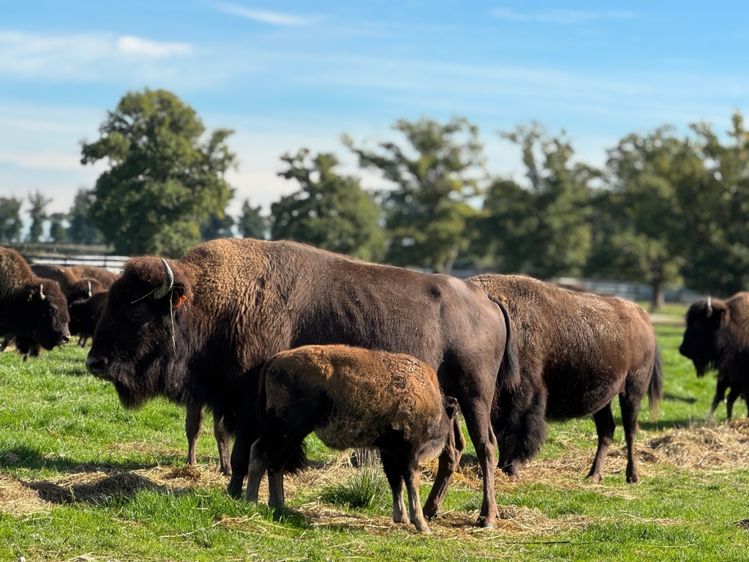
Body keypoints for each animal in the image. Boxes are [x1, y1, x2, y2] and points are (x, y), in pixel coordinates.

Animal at [238, 344, 457, 533]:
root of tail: (274, 360)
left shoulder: (390, 452)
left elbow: (396, 482)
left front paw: (401, 518)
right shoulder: (408, 453)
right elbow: (411, 482)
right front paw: (421, 524)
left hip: (292, 436)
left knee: (276, 465)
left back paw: (279, 506)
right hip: (283, 430)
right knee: (259, 453)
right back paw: (251, 501)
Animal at [469, 274, 662, 483]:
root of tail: (641, 315)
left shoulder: (523, 396)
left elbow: (516, 431)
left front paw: (511, 470)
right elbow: (501, 432)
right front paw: (502, 468)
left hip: (633, 391)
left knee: (630, 431)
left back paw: (632, 476)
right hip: (604, 400)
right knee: (607, 431)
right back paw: (593, 475)